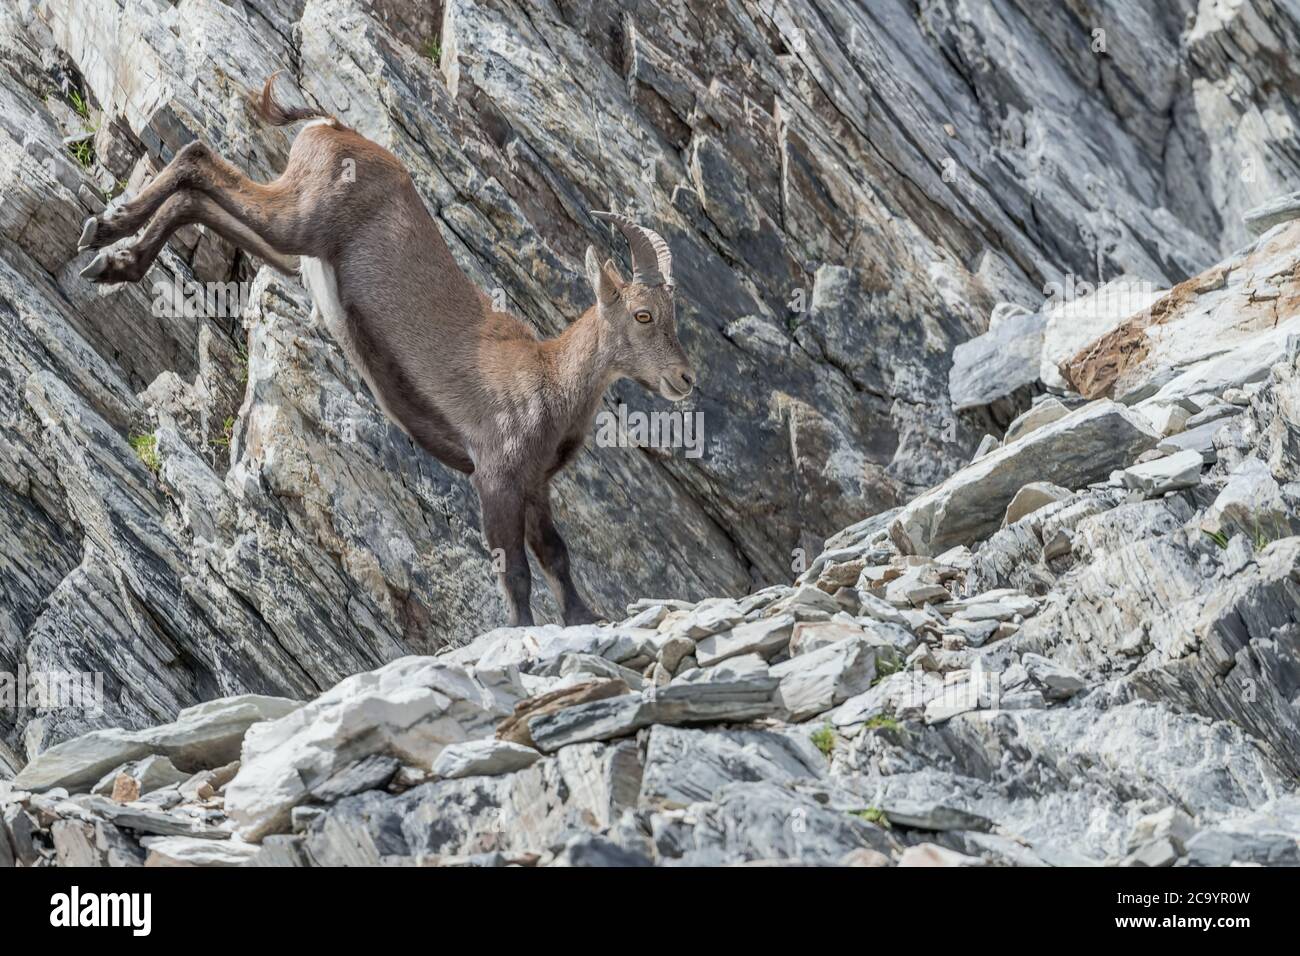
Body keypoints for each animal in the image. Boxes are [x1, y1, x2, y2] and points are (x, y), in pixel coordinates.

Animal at [77, 75, 696, 628]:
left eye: (673, 315)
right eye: (643, 314)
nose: (685, 379)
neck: (549, 380)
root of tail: (331, 126)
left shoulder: (536, 484)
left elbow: (556, 554)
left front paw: (583, 617)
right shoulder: (495, 473)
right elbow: (514, 567)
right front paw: (524, 628)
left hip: (294, 250)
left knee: (198, 200)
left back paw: (114, 257)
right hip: (299, 216)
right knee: (197, 157)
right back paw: (105, 230)